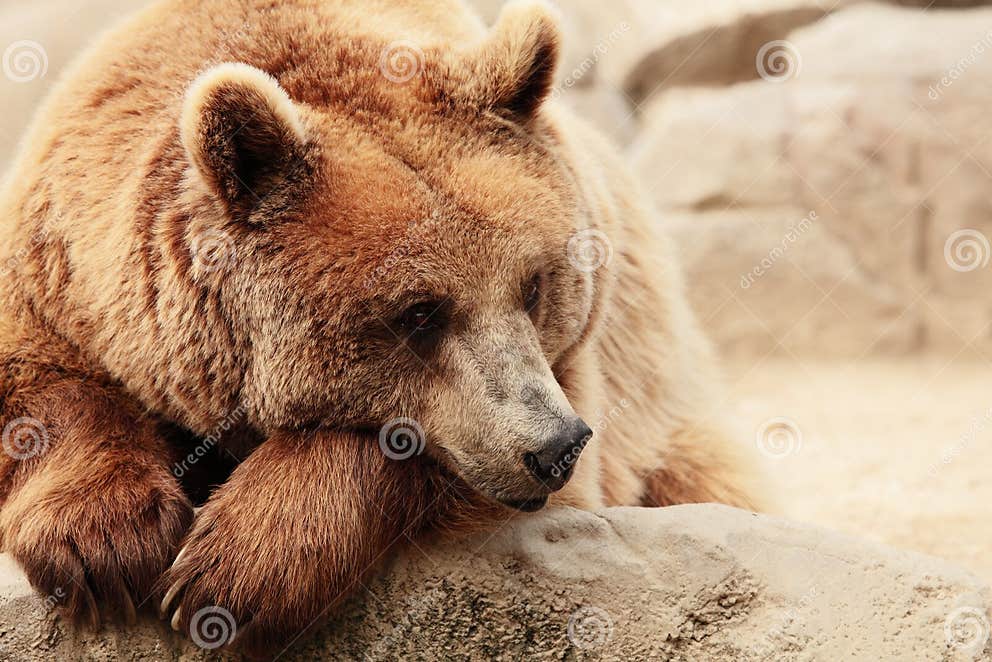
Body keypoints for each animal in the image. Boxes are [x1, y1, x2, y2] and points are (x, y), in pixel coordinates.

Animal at [0, 0, 761, 654]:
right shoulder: (65, 268)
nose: (554, 446)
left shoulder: (573, 369)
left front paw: (234, 565)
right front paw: (103, 544)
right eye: (418, 311)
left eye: (534, 283)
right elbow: (38, 384)